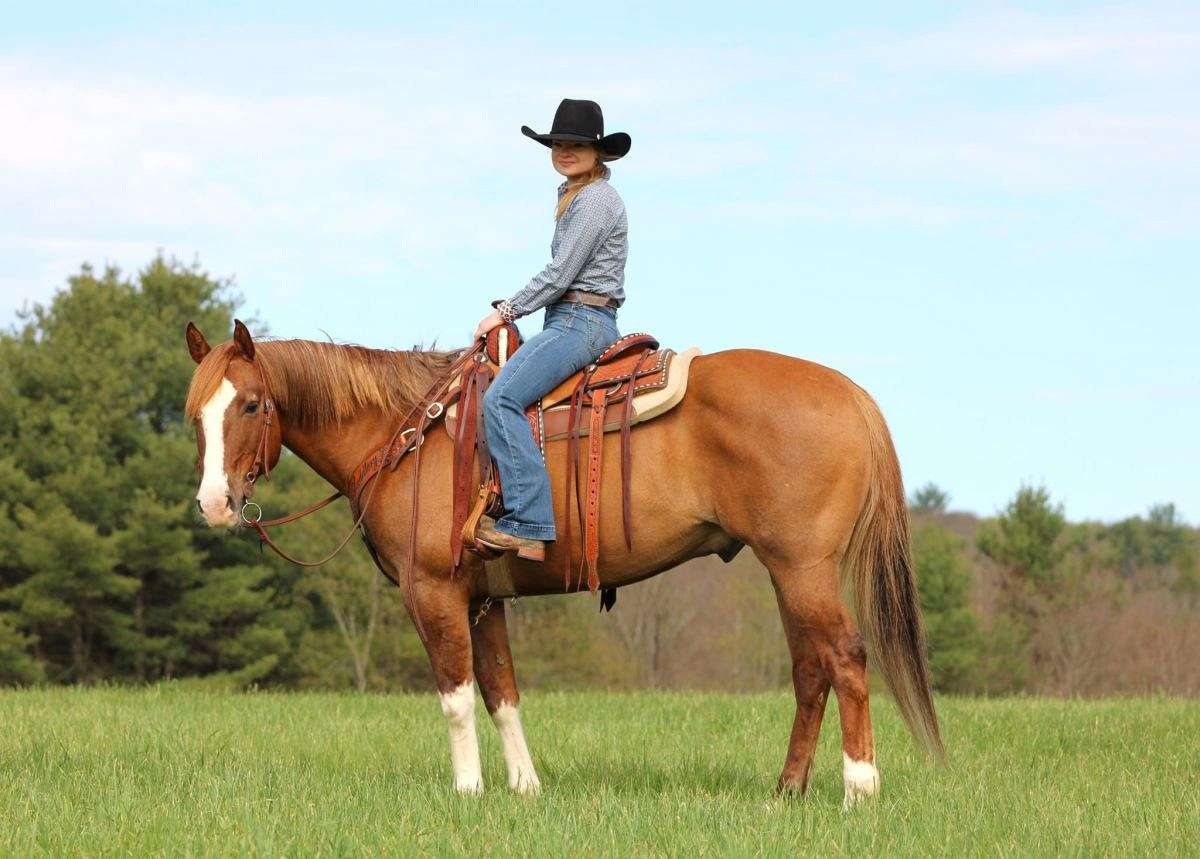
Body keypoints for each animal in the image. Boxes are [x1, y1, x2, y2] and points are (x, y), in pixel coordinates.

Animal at [184, 319, 942, 805]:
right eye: (197, 414)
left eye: (251, 404)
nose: (216, 503)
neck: (409, 432)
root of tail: (850, 395)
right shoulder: (482, 599)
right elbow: (502, 692)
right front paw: (524, 788)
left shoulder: (433, 593)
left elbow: (457, 697)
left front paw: (467, 791)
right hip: (787, 573)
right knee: (811, 669)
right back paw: (787, 790)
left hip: (804, 568)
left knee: (845, 658)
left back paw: (859, 789)